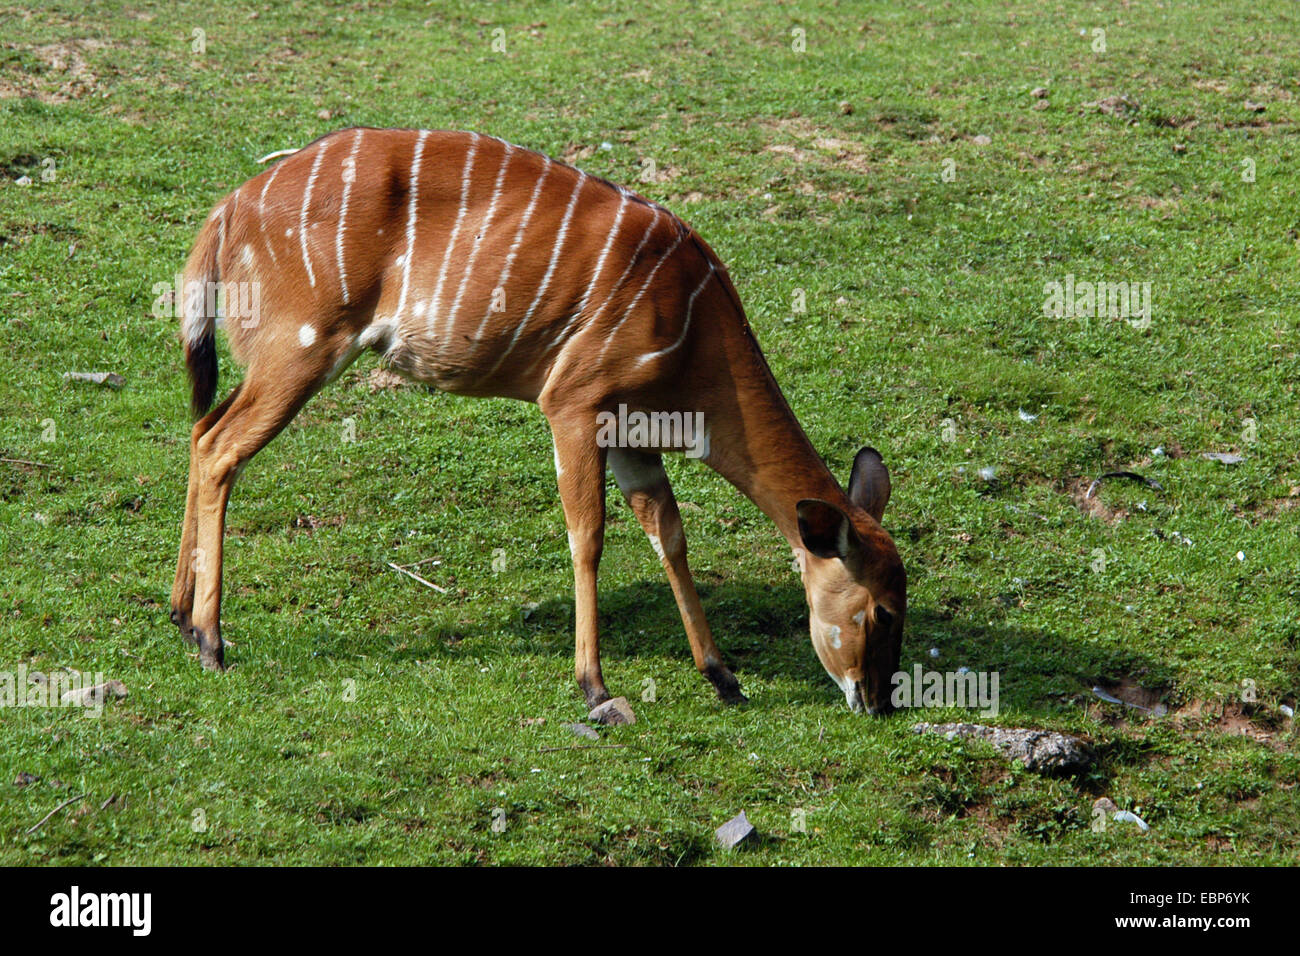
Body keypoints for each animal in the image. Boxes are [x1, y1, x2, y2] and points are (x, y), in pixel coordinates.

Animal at [170, 127, 906, 713]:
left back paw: (179, 615)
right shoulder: (573, 402)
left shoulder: (631, 434)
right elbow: (589, 536)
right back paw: (211, 640)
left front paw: (722, 676)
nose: (877, 702)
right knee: (221, 448)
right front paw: (596, 687)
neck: (695, 326)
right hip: (302, 349)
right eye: (879, 613)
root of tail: (231, 205)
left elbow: (669, 535)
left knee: (201, 430)